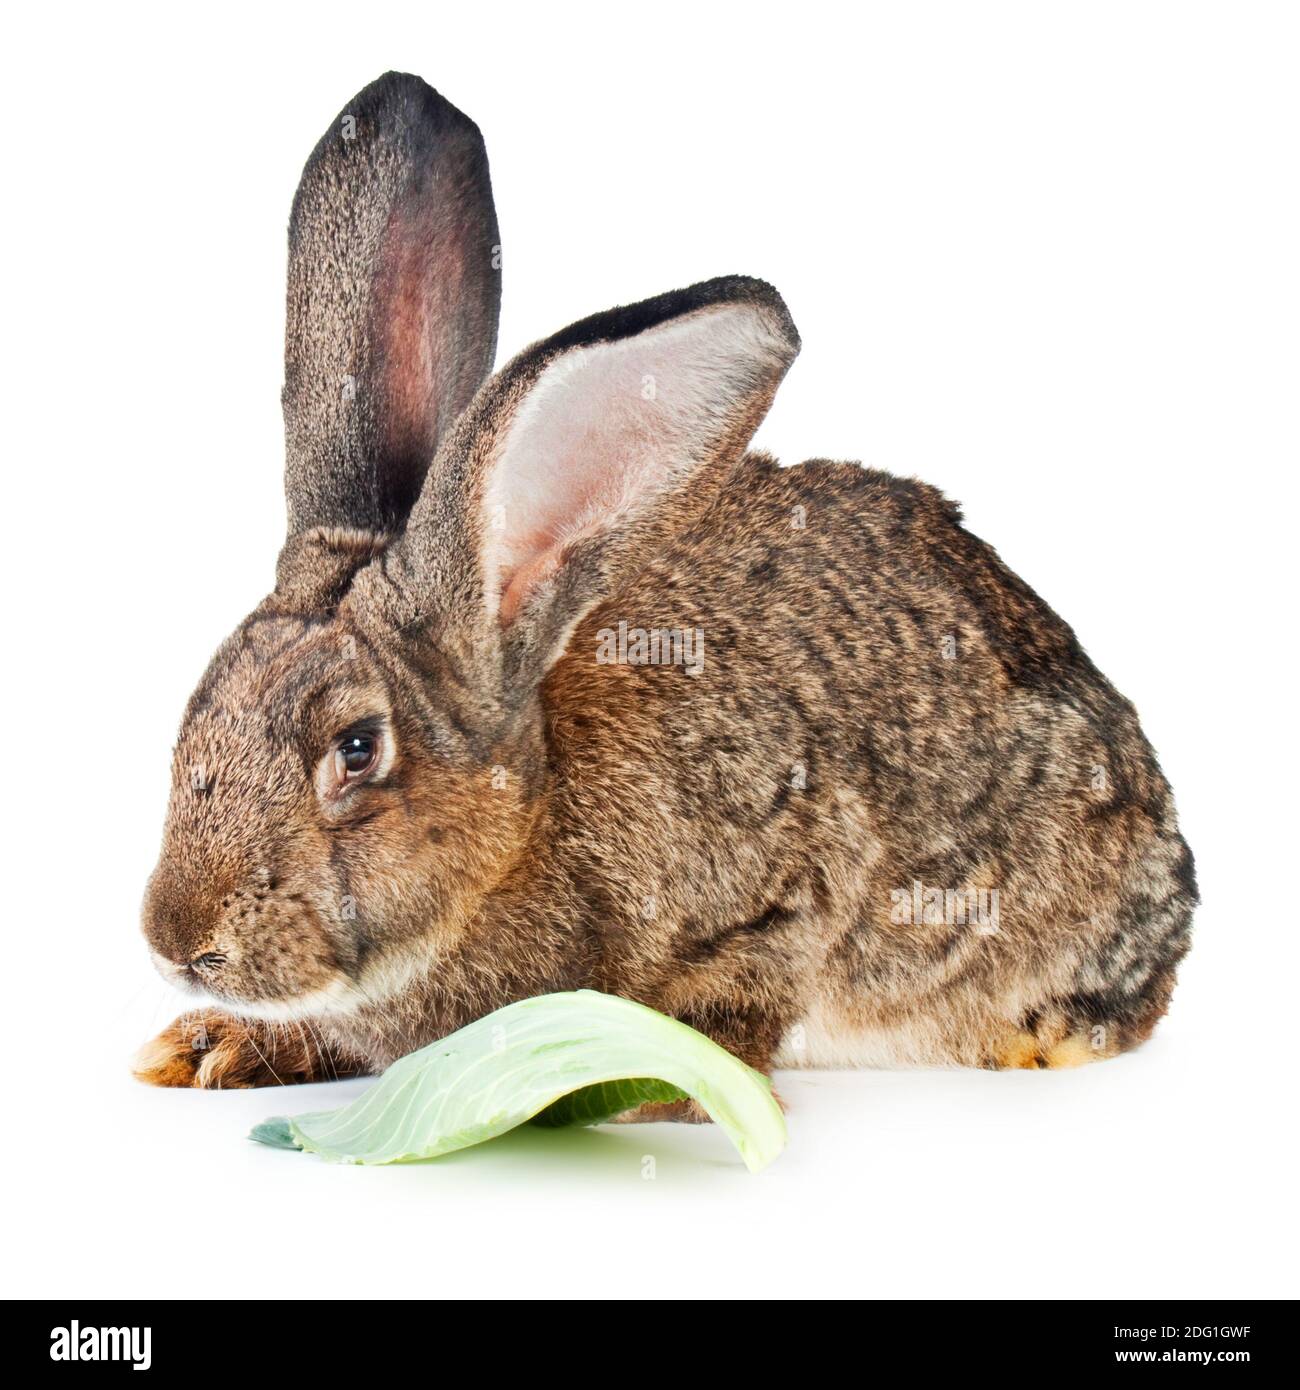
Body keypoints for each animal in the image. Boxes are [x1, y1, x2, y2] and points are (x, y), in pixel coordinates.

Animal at [134, 71, 1195, 1101]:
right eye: (197, 710)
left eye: (357, 749)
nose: (179, 943)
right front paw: (211, 1049)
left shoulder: (786, 881)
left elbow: (743, 995)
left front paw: (655, 1082)